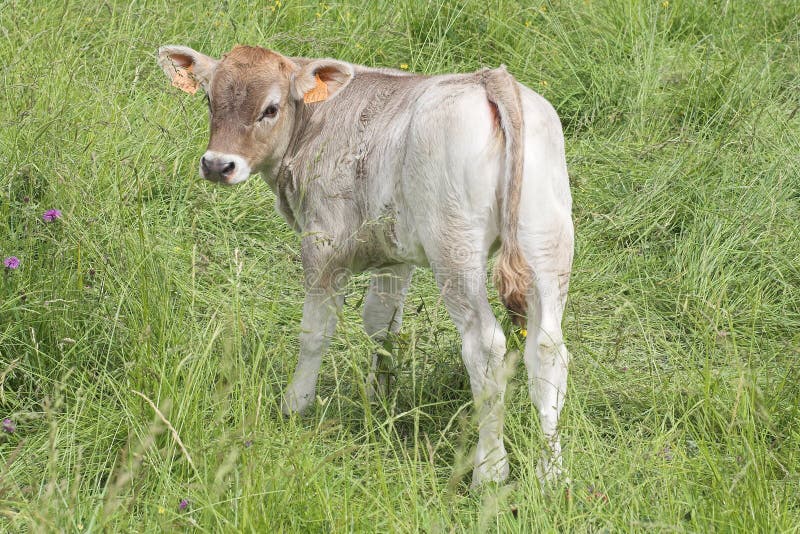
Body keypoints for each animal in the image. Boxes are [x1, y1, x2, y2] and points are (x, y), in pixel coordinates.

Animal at [157, 44, 573, 487]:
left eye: (270, 108)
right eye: (209, 99)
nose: (218, 165)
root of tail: (490, 79)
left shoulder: (322, 245)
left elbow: (315, 331)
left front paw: (295, 404)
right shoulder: (395, 254)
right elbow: (381, 322)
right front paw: (381, 396)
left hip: (455, 250)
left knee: (486, 346)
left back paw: (490, 470)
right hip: (547, 242)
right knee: (547, 348)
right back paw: (551, 472)